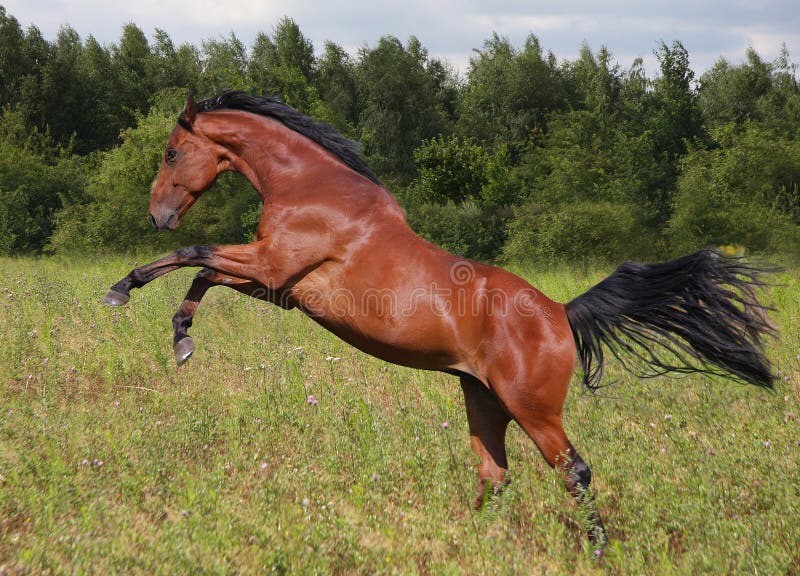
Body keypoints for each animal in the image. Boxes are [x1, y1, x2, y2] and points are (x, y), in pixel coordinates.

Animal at [103, 90, 776, 550]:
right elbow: (202, 273)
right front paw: (180, 336)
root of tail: (562, 314)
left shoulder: (273, 265)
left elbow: (193, 255)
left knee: (574, 470)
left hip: (532, 408)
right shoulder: (278, 286)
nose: (158, 214)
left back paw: (595, 549)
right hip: (484, 400)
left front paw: (122, 292)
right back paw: (468, 538)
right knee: (495, 474)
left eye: (171, 151)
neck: (313, 189)